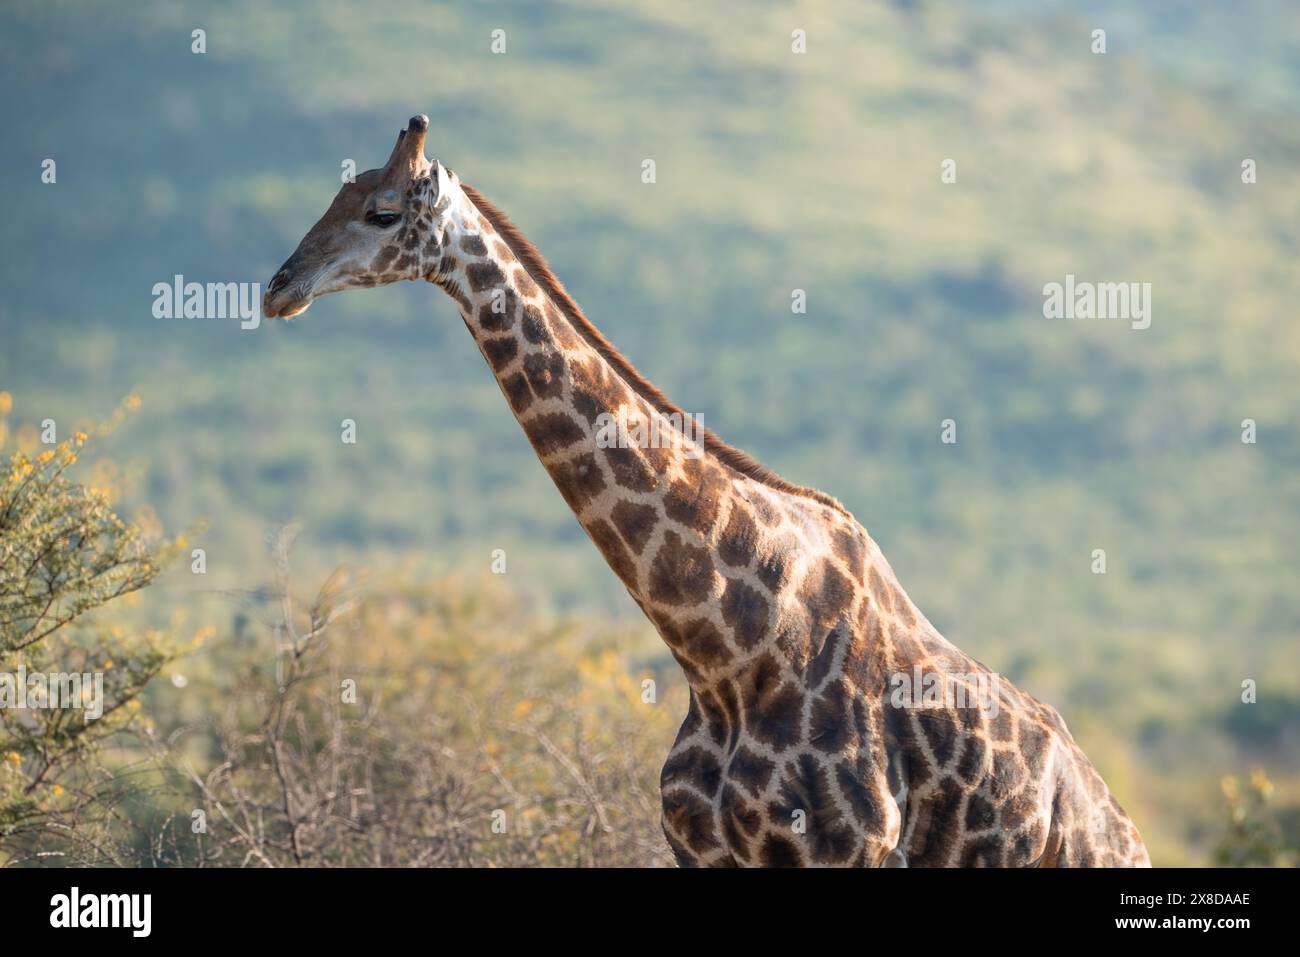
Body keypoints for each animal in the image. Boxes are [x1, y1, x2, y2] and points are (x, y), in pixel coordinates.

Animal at [263, 115, 1151, 867]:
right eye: (333, 197)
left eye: (380, 211)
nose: (279, 286)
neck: (724, 649)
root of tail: (1120, 825)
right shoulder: (704, 849)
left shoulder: (845, 850)